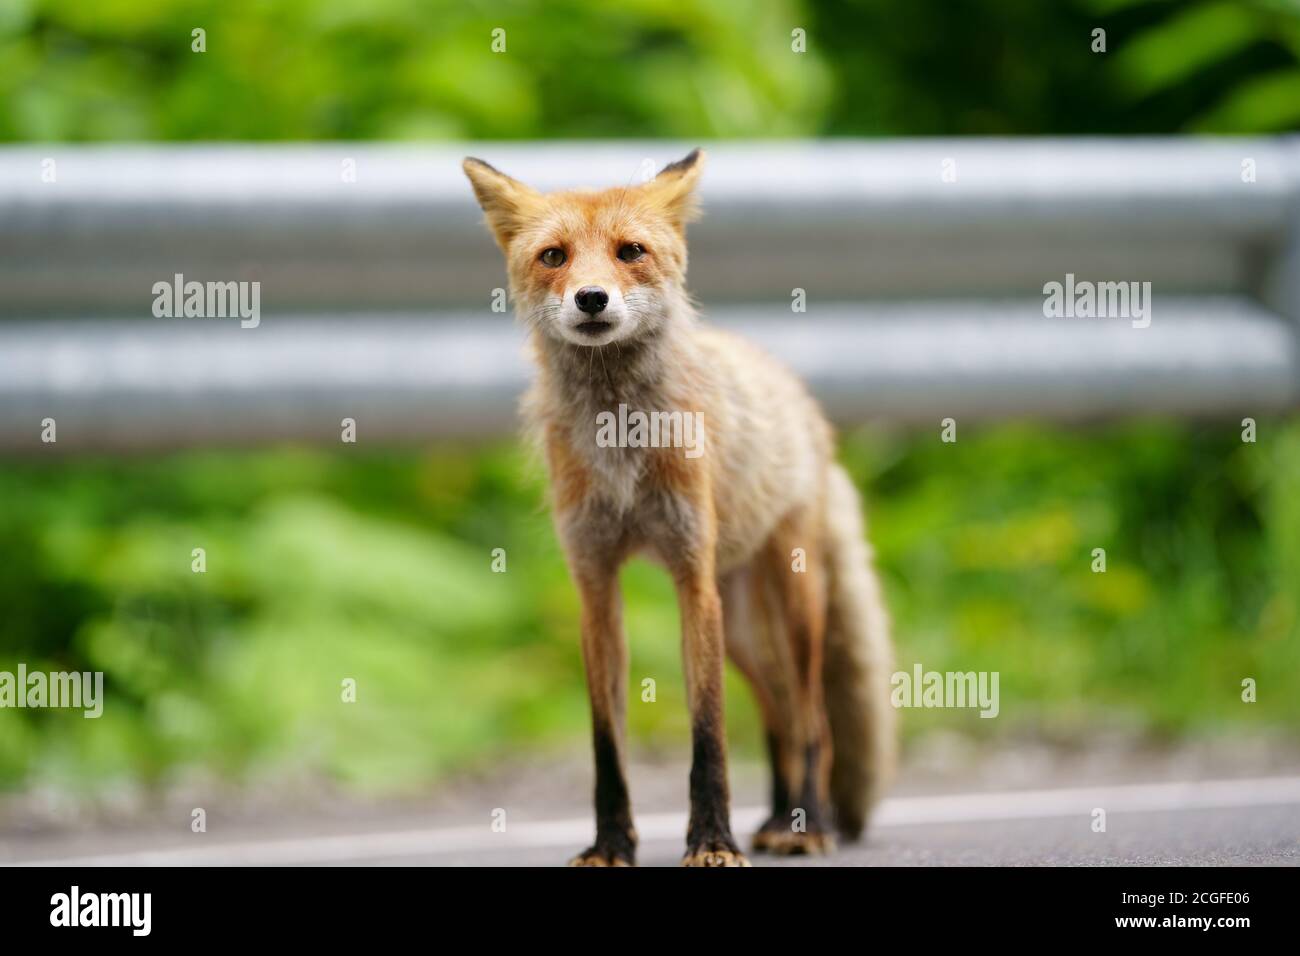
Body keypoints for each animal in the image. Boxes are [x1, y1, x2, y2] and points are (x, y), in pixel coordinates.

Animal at [463, 149, 896, 867]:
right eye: (554, 257)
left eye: (630, 251)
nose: (591, 298)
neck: (621, 443)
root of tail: (796, 392)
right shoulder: (596, 586)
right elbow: (606, 744)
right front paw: (610, 844)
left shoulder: (693, 581)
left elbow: (708, 735)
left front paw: (712, 842)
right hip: (744, 628)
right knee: (780, 720)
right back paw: (778, 817)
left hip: (791, 602)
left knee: (813, 722)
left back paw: (808, 825)